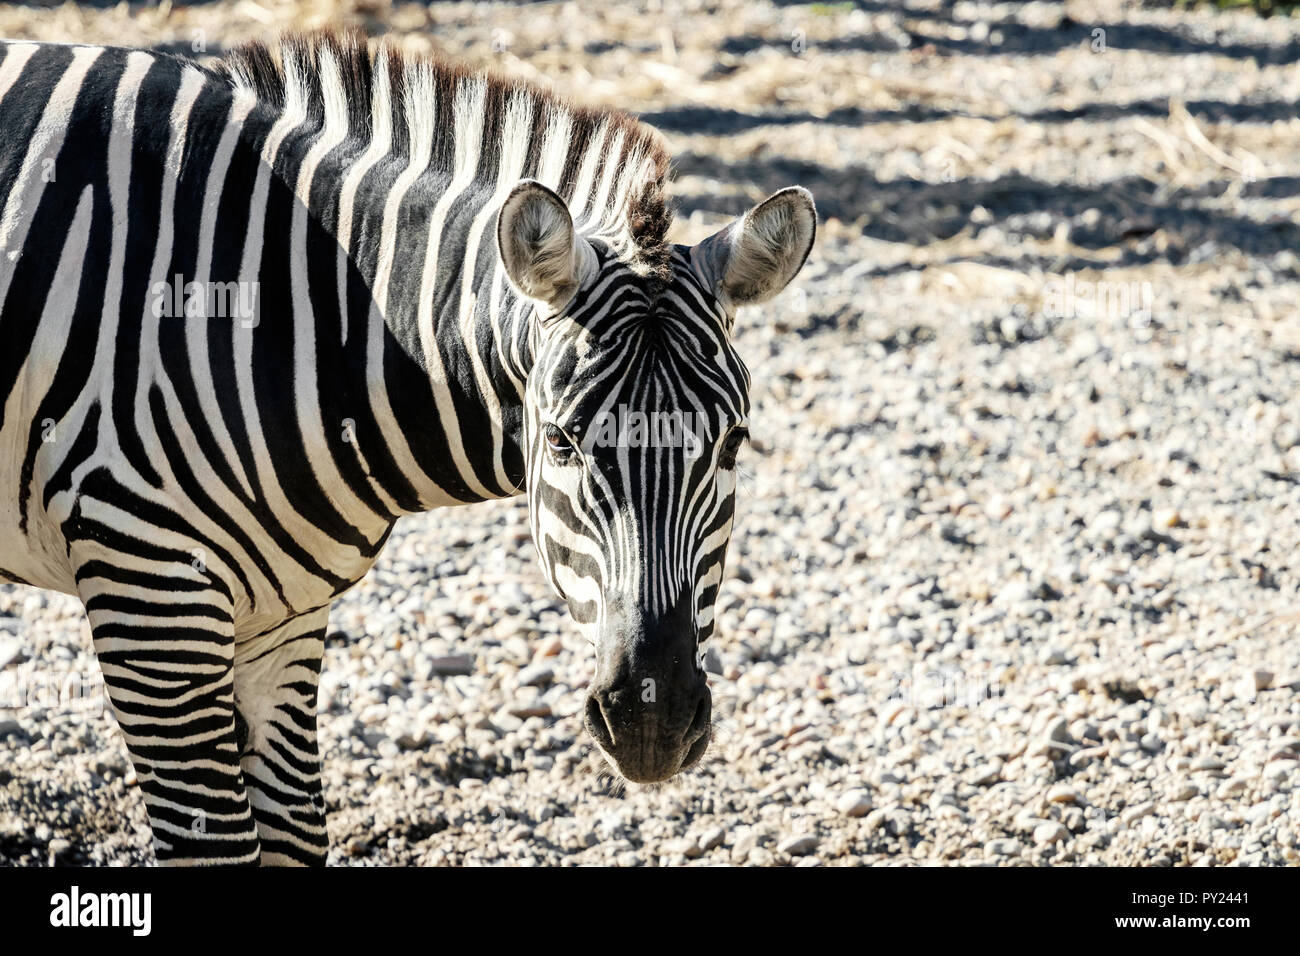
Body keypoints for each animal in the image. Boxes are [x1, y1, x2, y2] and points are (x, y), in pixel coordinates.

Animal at [0, 32, 816, 865]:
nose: (653, 723)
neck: (290, 317)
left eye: (733, 443)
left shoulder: (283, 617)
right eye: (561, 441)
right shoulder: (148, 585)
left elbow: (296, 831)